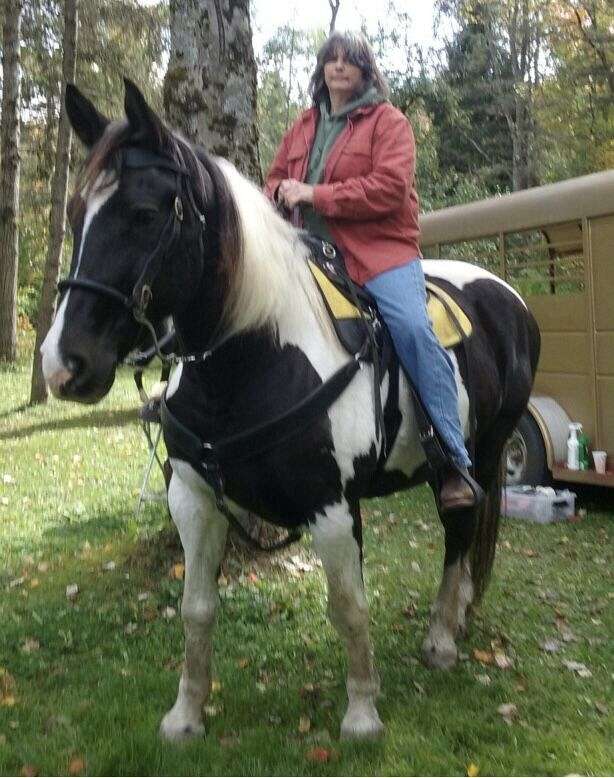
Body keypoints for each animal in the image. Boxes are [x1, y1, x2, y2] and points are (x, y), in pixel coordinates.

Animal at [41, 79, 540, 742]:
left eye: (144, 215)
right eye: (75, 215)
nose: (63, 363)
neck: (252, 358)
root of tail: (507, 296)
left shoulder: (332, 508)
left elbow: (349, 608)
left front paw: (361, 714)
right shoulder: (194, 501)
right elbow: (196, 609)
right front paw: (186, 714)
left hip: (481, 455)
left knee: (461, 530)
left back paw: (440, 638)